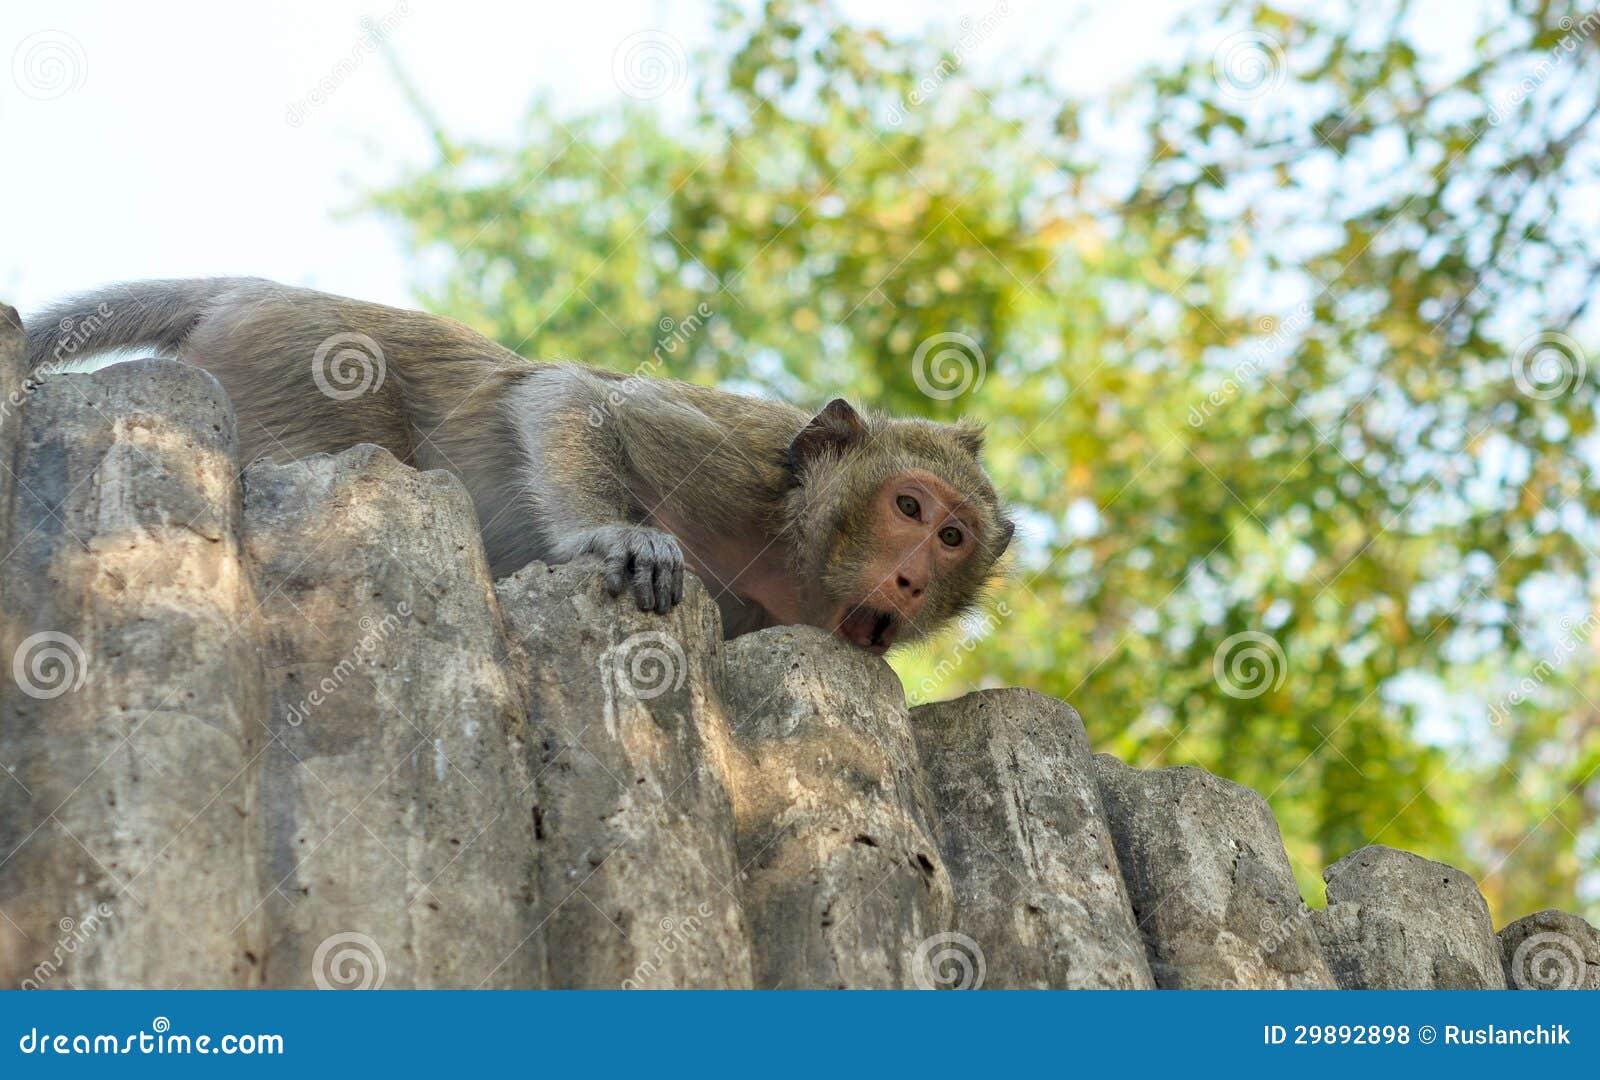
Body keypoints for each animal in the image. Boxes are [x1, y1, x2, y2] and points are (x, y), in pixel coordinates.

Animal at [26, 278, 1014, 653]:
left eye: (954, 538)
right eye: (909, 509)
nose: (912, 576)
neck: (792, 536)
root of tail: (254, 289)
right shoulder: (734, 470)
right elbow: (577, 398)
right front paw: (613, 537)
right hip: (295, 358)